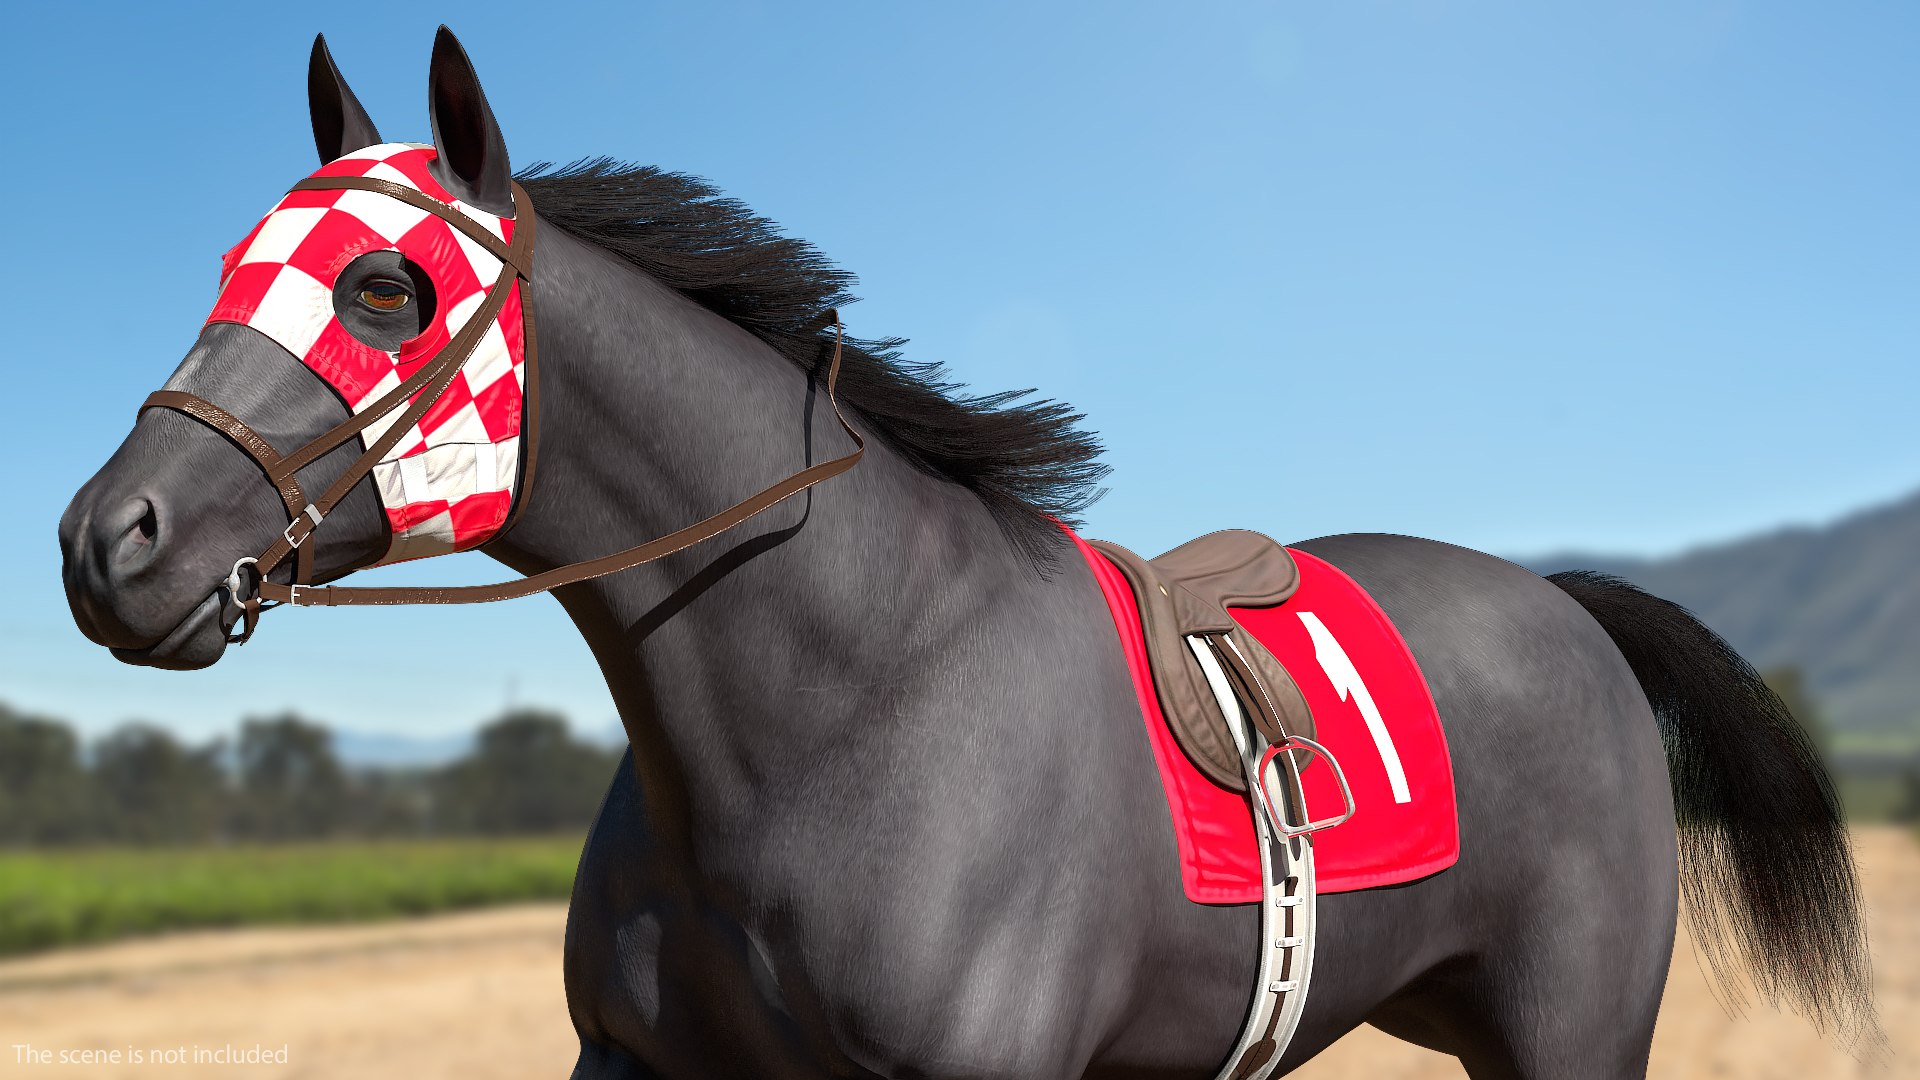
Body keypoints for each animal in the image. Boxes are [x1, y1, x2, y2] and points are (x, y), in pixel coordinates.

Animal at [58, 28, 1878, 1080]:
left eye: (384, 287)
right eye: (233, 261)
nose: (104, 540)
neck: (840, 700)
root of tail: (1565, 608)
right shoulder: (637, 1066)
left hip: (1573, 1031)